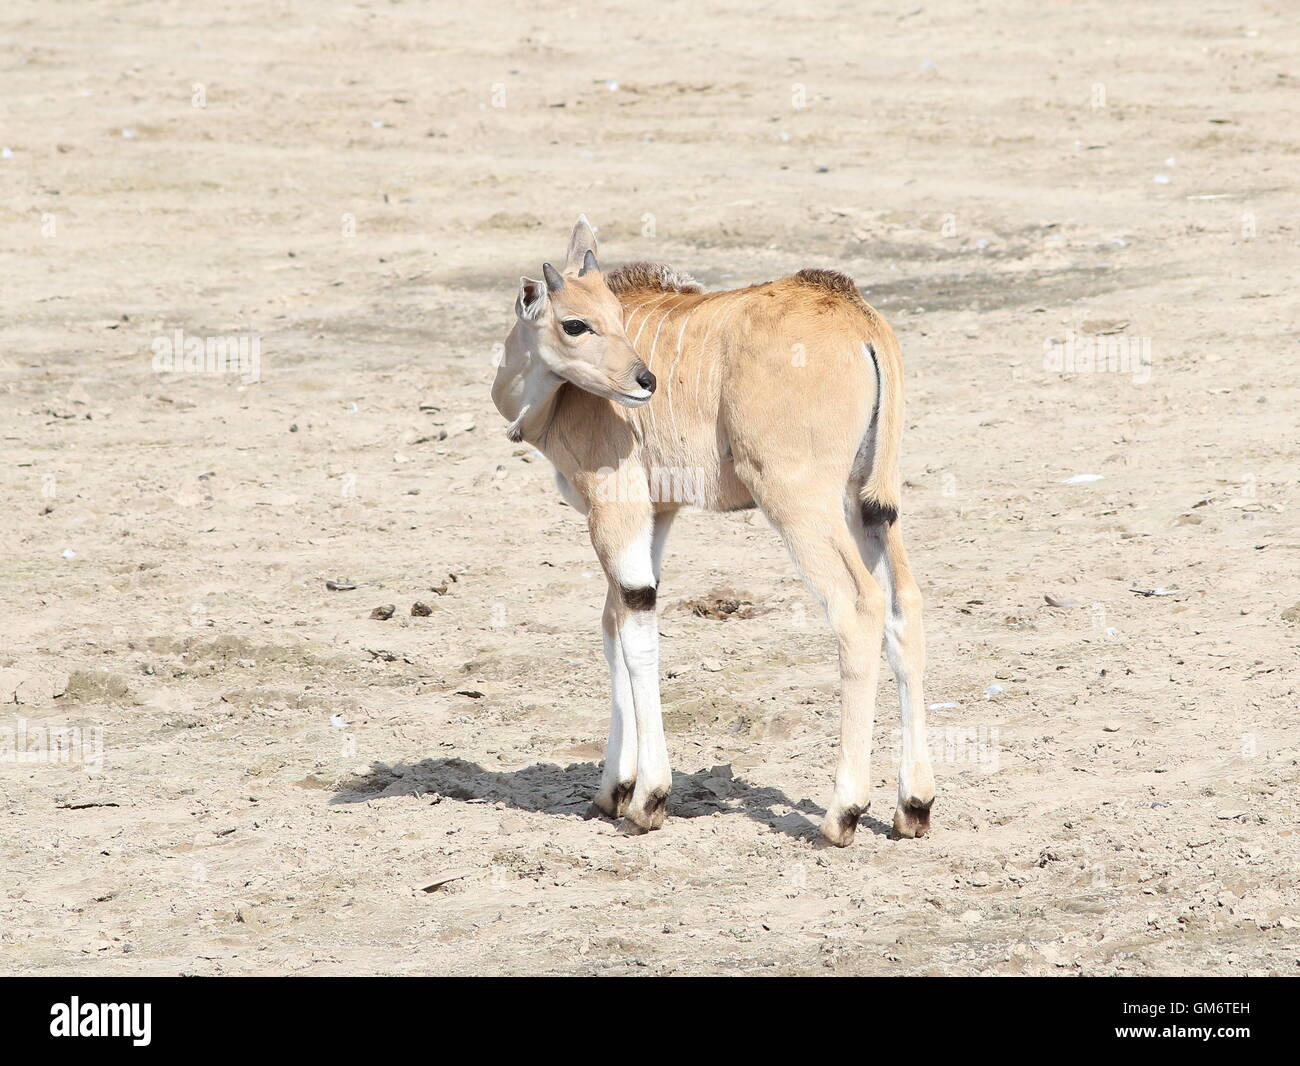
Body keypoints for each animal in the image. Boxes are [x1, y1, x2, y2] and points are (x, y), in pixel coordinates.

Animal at [490, 217, 935, 846]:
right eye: (577, 322)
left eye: (607, 318)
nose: (644, 380)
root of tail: (857, 316)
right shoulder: (659, 514)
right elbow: (615, 622)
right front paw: (613, 788)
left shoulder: (615, 506)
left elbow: (634, 624)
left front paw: (645, 799)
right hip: (872, 504)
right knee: (905, 607)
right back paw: (914, 804)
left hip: (799, 502)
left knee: (857, 606)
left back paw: (842, 812)